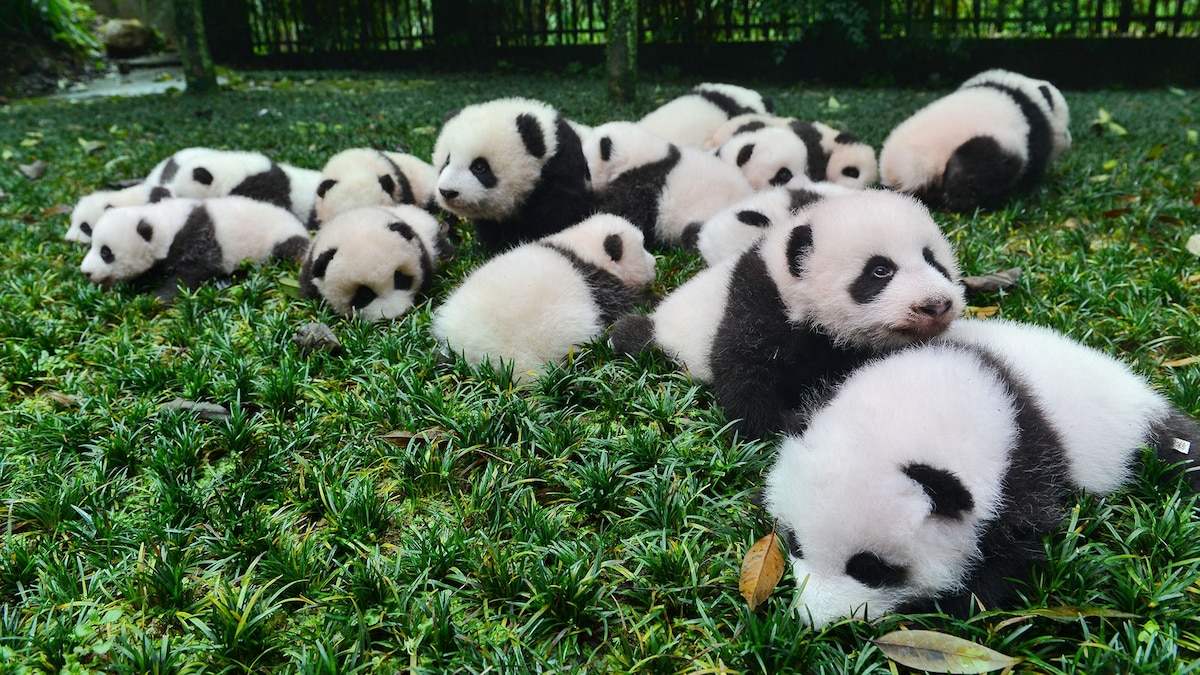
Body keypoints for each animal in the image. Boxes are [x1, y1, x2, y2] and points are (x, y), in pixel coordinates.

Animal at [79, 196, 311, 301]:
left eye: (105, 253)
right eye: (93, 245)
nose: (86, 272)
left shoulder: (198, 238)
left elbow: (195, 270)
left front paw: (157, 298)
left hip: (279, 237)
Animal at [431, 213, 656, 384]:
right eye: (643, 248)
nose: (655, 263)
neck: (582, 249)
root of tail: (478, 352)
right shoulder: (599, 285)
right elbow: (622, 304)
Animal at [610, 190, 964, 438]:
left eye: (934, 261)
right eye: (880, 271)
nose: (935, 305)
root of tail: (659, 320)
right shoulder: (757, 302)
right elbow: (742, 369)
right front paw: (779, 426)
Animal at [763, 318, 1200, 628]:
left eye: (870, 569)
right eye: (795, 543)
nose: (814, 618)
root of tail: (1142, 395)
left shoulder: (1022, 471)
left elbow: (1010, 552)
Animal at [879, 69, 1071, 211]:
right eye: (1066, 127)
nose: (1069, 141)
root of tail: (907, 170)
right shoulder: (1034, 132)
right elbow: (1032, 165)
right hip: (983, 147)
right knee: (977, 166)